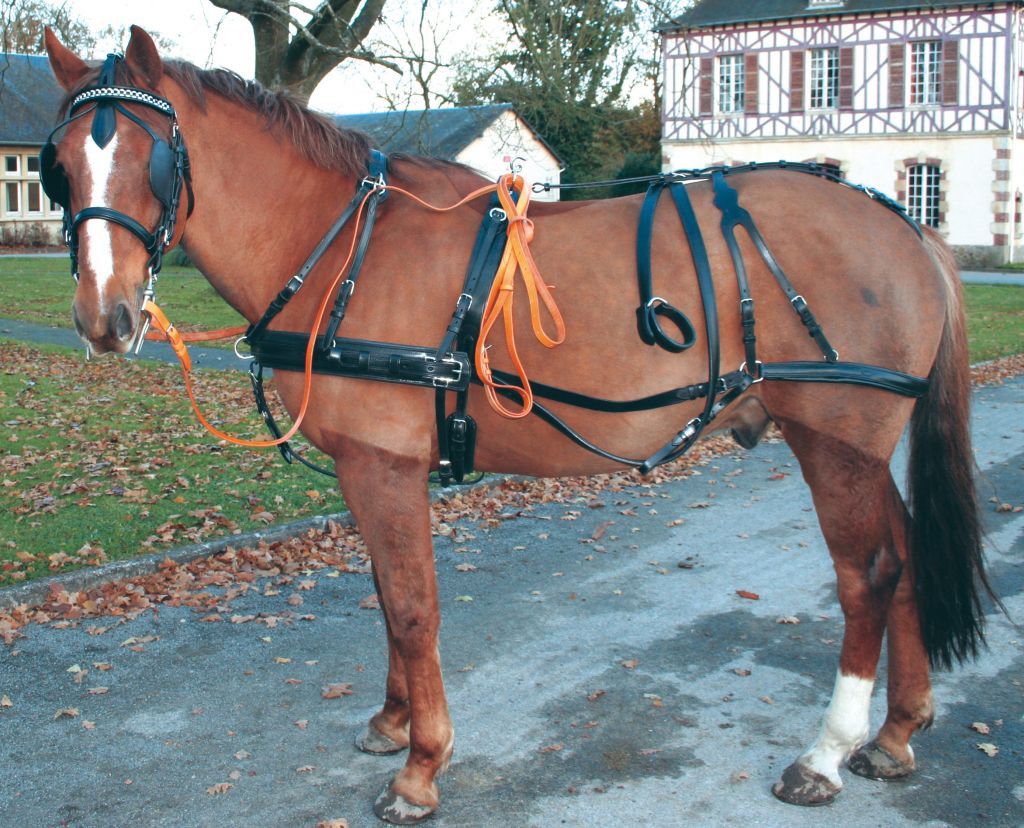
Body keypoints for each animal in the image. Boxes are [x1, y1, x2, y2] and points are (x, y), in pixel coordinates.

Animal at [41, 26, 993, 825]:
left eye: (156, 161)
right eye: (58, 167)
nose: (102, 317)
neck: (346, 247)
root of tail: (906, 225)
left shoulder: (384, 465)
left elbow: (413, 607)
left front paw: (422, 767)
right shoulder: (366, 468)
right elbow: (385, 597)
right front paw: (394, 721)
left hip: (836, 440)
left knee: (869, 575)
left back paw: (827, 752)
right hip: (863, 448)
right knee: (905, 556)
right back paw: (896, 733)